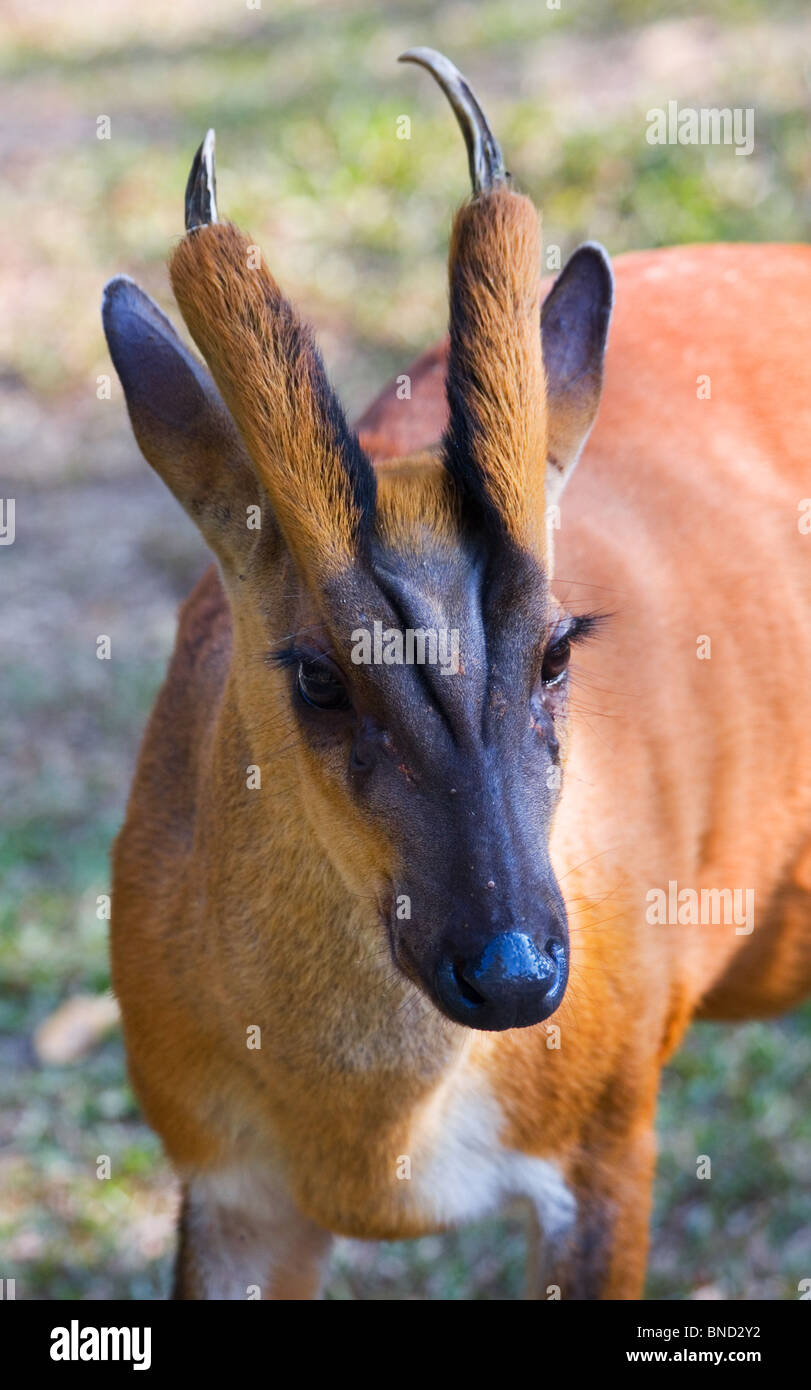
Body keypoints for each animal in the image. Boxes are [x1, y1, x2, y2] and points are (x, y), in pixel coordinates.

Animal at [101, 48, 811, 1300]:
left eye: (557, 647)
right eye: (318, 674)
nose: (515, 973)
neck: (375, 1149)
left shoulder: (610, 1133)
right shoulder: (222, 1177)